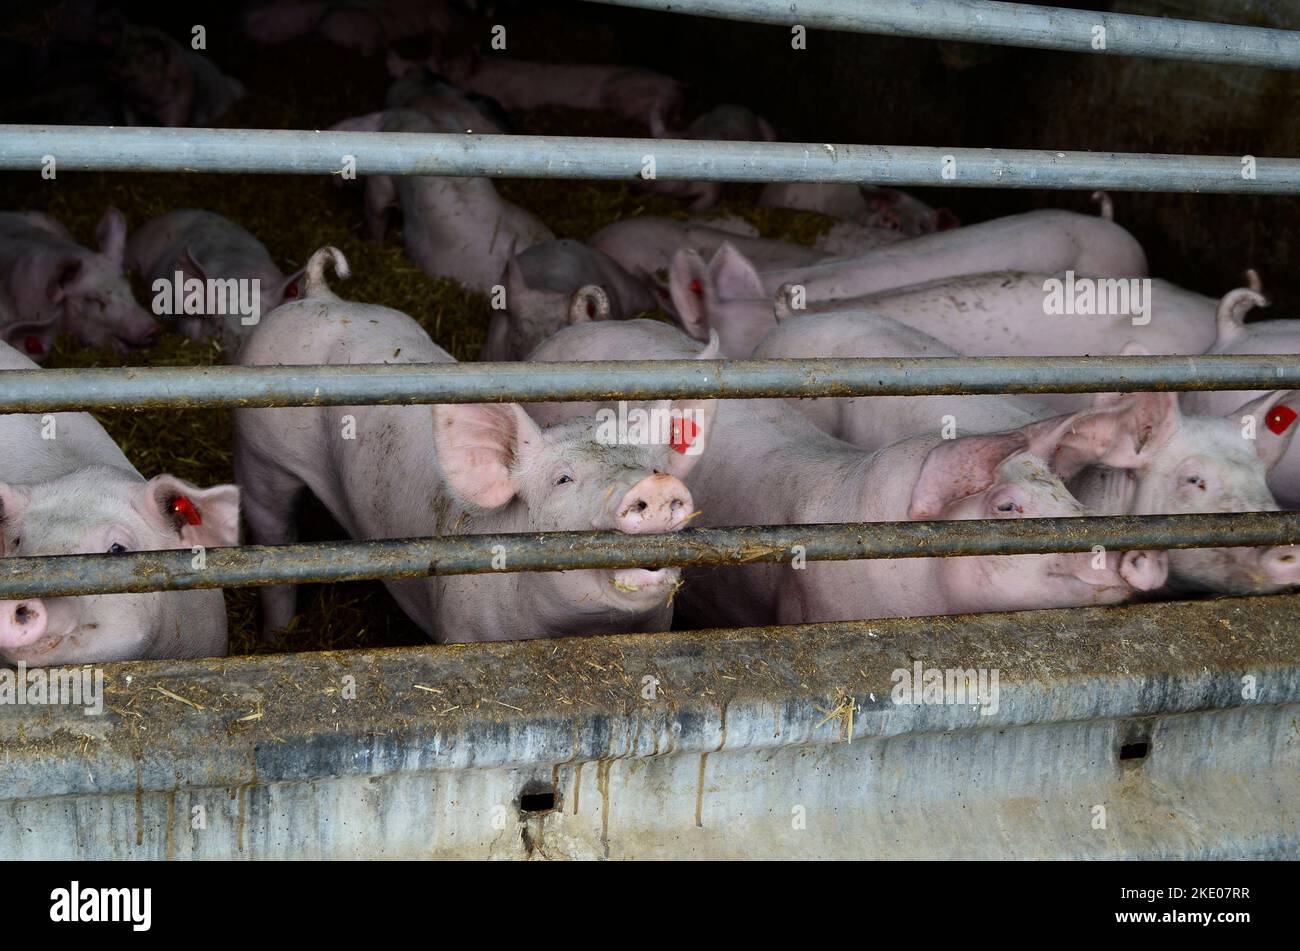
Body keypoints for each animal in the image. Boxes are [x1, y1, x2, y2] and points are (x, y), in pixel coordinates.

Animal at [107, 24, 246, 127]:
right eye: (118, 48)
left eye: (146, 53)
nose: (112, 68)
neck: (148, 102)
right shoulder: (129, 104)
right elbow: (132, 122)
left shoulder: (181, 101)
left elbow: (174, 122)